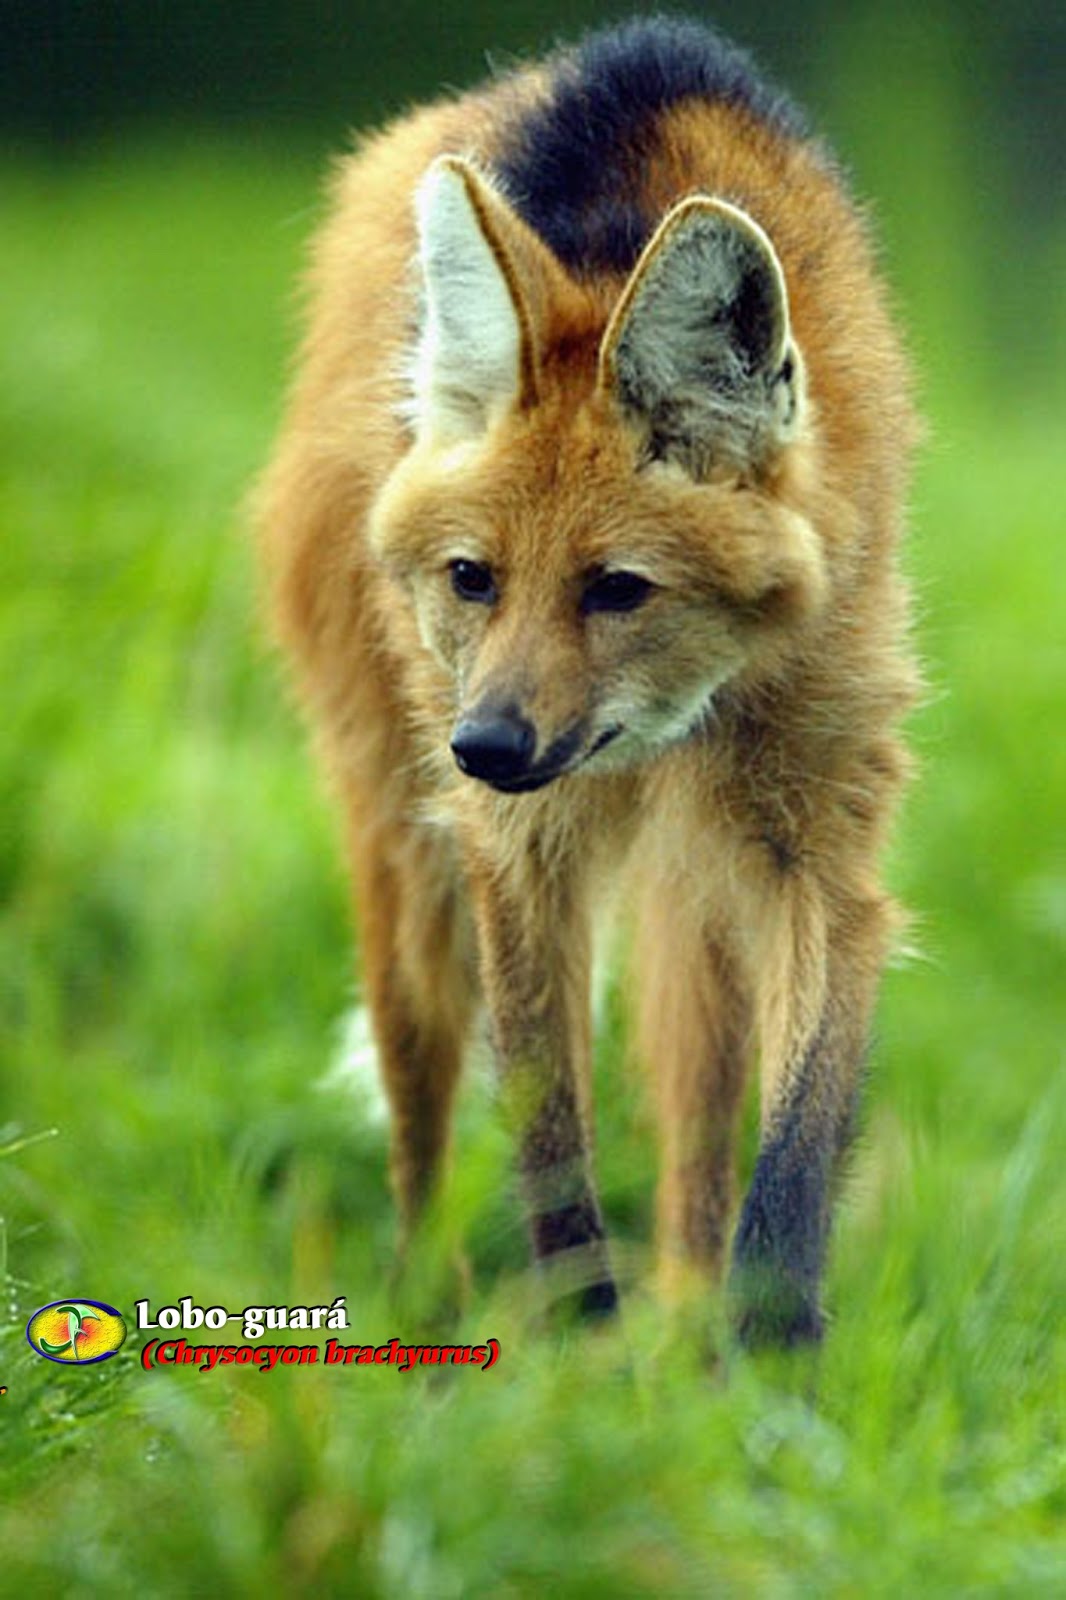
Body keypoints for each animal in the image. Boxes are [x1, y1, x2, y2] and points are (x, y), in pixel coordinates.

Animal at [256, 16, 919, 1346]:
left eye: (618, 588)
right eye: (474, 578)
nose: (487, 748)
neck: (678, 723)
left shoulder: (815, 834)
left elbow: (790, 1158)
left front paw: (759, 1369)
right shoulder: (517, 848)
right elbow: (548, 1144)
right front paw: (578, 1359)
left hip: (693, 886)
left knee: (695, 1122)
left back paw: (686, 1328)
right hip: (403, 835)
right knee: (420, 1107)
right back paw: (430, 1317)